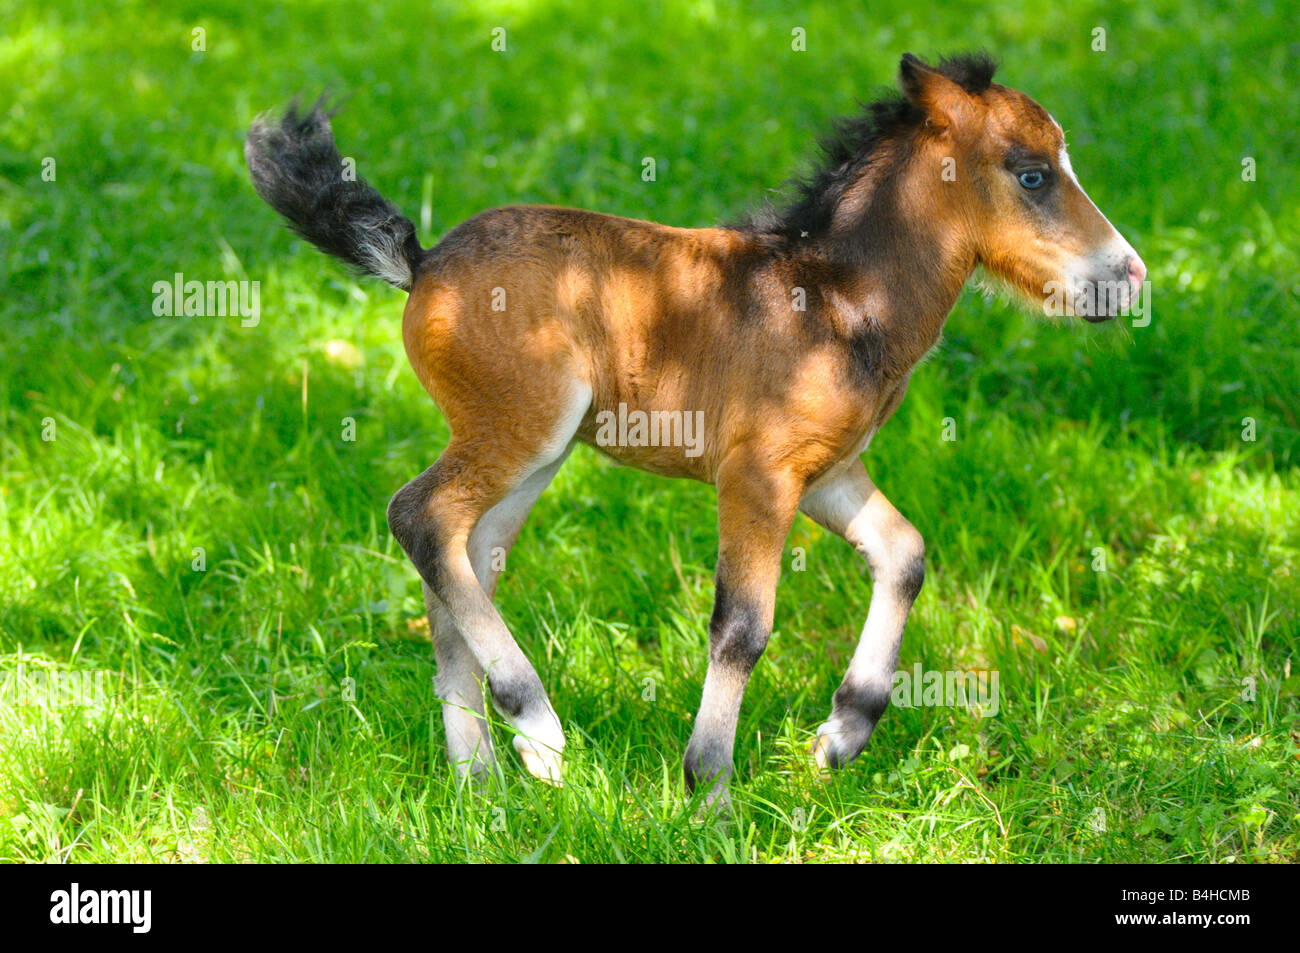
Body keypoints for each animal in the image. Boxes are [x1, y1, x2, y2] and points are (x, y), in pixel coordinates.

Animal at [245, 52, 1146, 811]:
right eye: (1032, 174)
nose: (1128, 276)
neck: (835, 299)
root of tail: (422, 262)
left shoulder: (828, 475)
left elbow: (906, 554)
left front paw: (840, 736)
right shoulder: (757, 474)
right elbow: (743, 626)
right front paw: (708, 788)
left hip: (534, 456)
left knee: (462, 556)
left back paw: (483, 775)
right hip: (520, 429)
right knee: (420, 514)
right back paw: (536, 725)